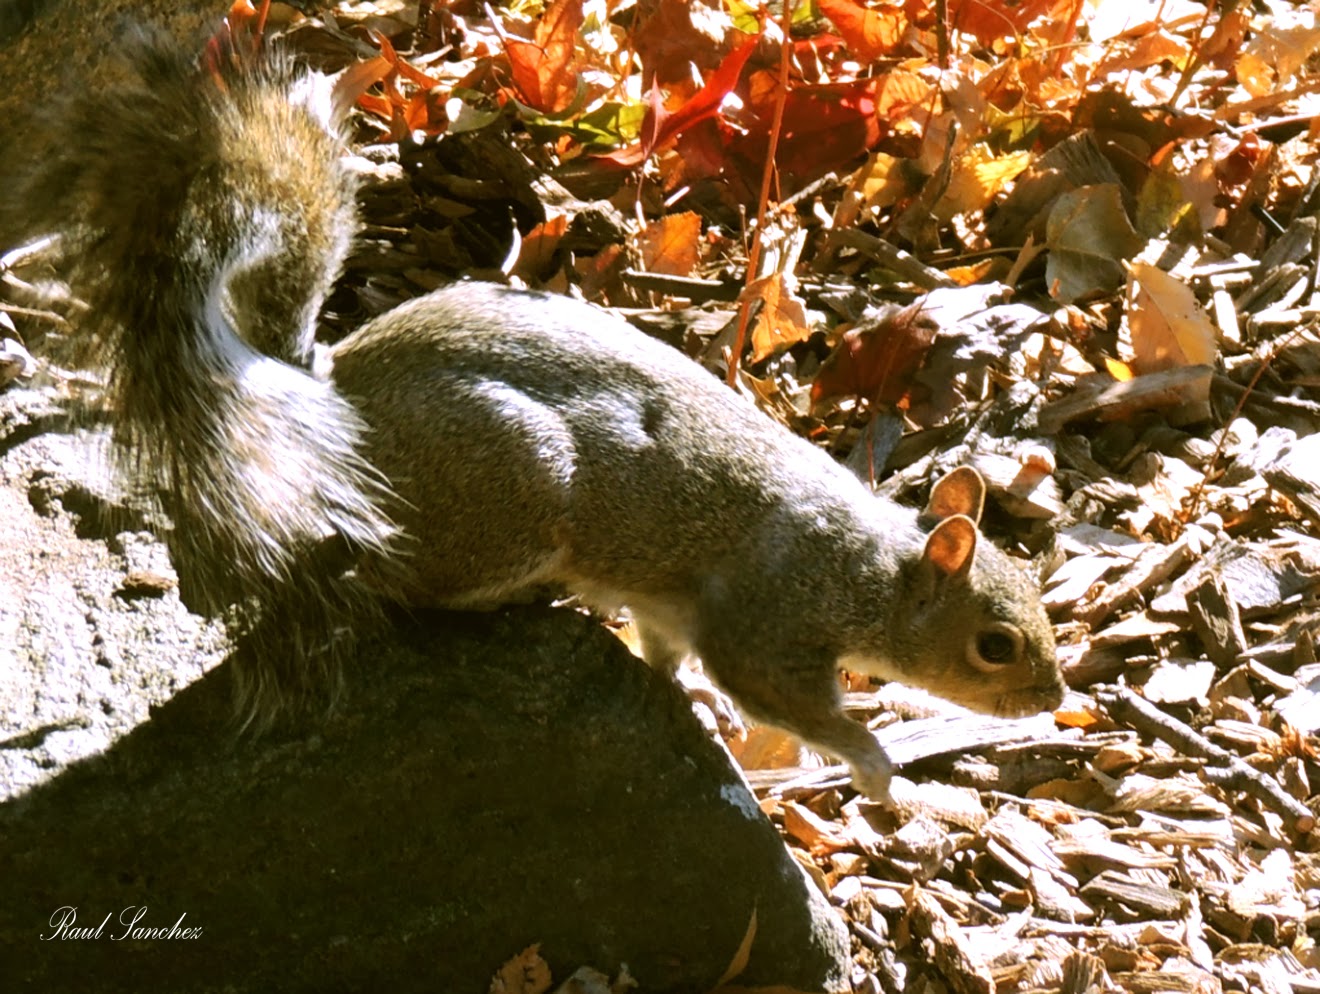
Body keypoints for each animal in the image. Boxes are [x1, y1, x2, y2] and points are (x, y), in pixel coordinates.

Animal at [6, 14, 1065, 802]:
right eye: (996, 645)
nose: (1053, 701)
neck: (870, 568)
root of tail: (333, 389)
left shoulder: (677, 611)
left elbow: (669, 653)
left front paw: (694, 711)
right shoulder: (766, 621)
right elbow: (776, 693)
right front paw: (876, 763)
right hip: (513, 485)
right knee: (388, 581)